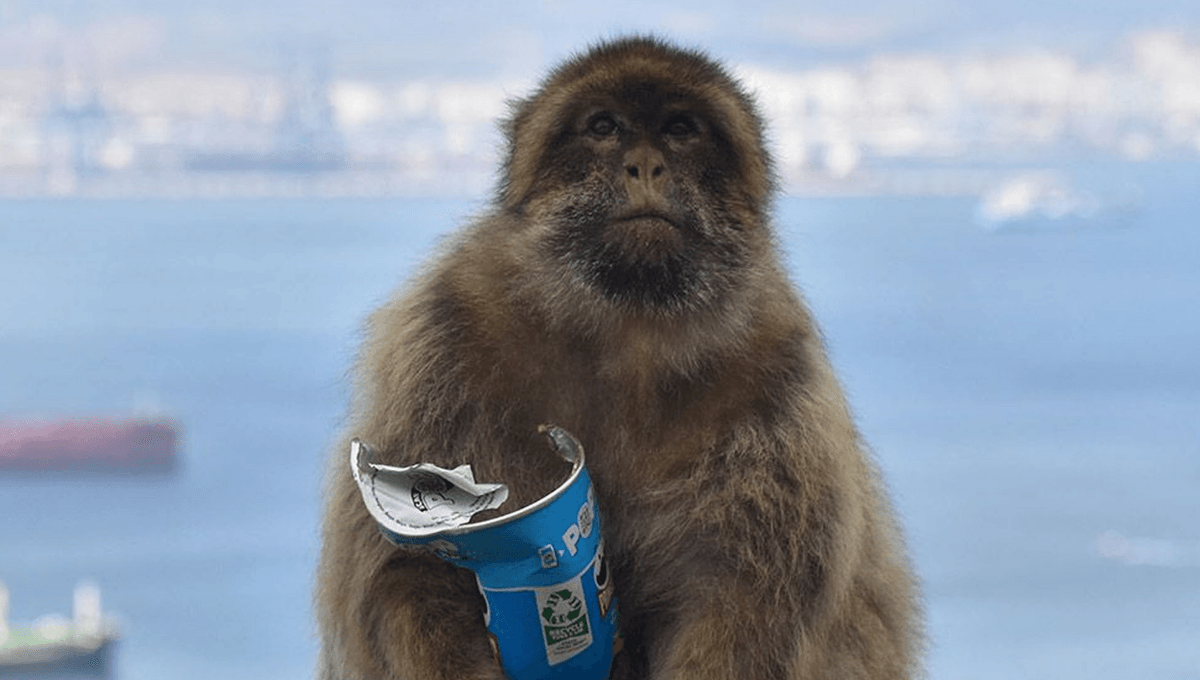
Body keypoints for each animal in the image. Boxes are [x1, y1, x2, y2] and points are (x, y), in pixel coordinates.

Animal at [316, 36, 923, 680]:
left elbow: (746, 591)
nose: (646, 165)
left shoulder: (781, 372)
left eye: (681, 129)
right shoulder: (442, 337)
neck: (627, 329)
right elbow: (406, 568)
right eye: (604, 126)